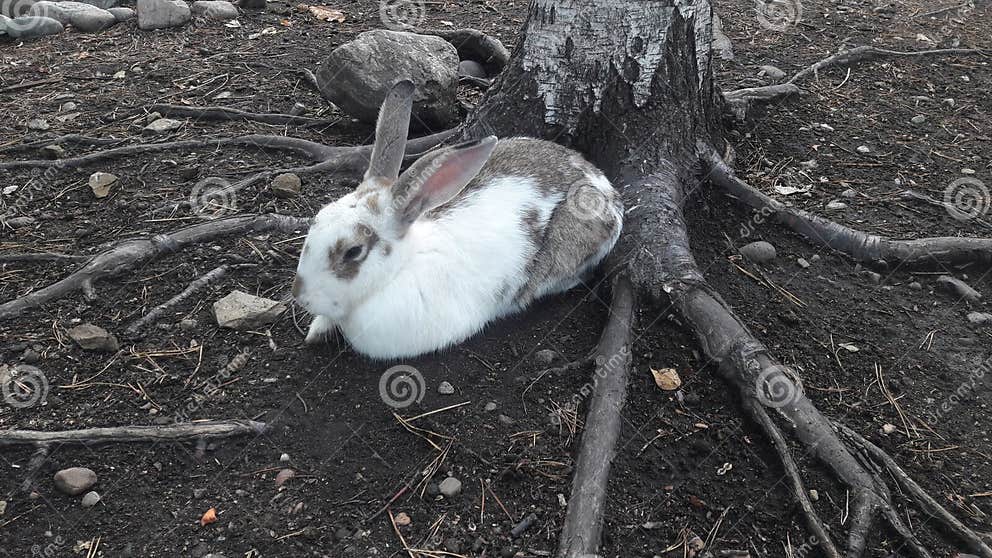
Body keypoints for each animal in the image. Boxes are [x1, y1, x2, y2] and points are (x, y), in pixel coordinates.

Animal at [293, 79, 623, 360]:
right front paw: (317, 331)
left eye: (353, 252)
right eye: (316, 220)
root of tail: (603, 184)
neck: (400, 268)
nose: (300, 297)